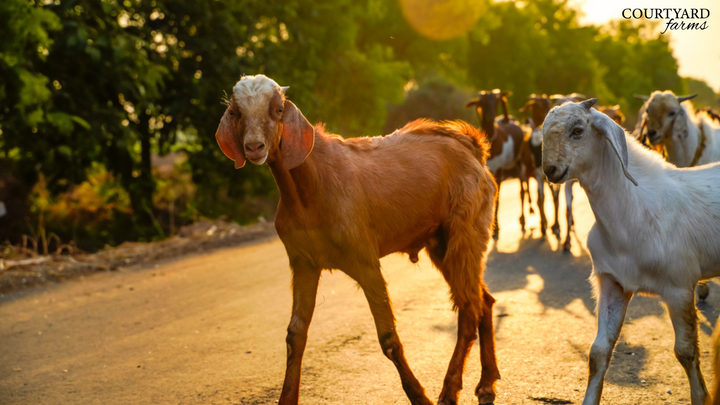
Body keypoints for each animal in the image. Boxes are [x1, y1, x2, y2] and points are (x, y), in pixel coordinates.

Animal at [216, 75, 500, 405]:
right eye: (236, 112)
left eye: (277, 109)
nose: (254, 146)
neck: (310, 189)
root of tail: (472, 144)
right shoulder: (303, 263)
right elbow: (295, 335)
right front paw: (286, 399)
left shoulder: (365, 261)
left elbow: (388, 338)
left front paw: (420, 397)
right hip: (440, 241)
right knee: (484, 301)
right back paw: (486, 383)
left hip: (466, 229)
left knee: (468, 307)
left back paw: (449, 391)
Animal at [466, 89, 534, 239]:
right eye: (482, 102)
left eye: (496, 101)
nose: (490, 116)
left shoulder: (499, 170)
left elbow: (497, 197)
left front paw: (496, 229)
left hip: (521, 161)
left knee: (523, 187)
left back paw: (524, 219)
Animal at [542, 98, 720, 405]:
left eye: (577, 131)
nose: (549, 170)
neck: (634, 210)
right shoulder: (612, 283)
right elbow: (598, 352)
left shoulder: (679, 288)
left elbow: (686, 352)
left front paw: (702, 397)